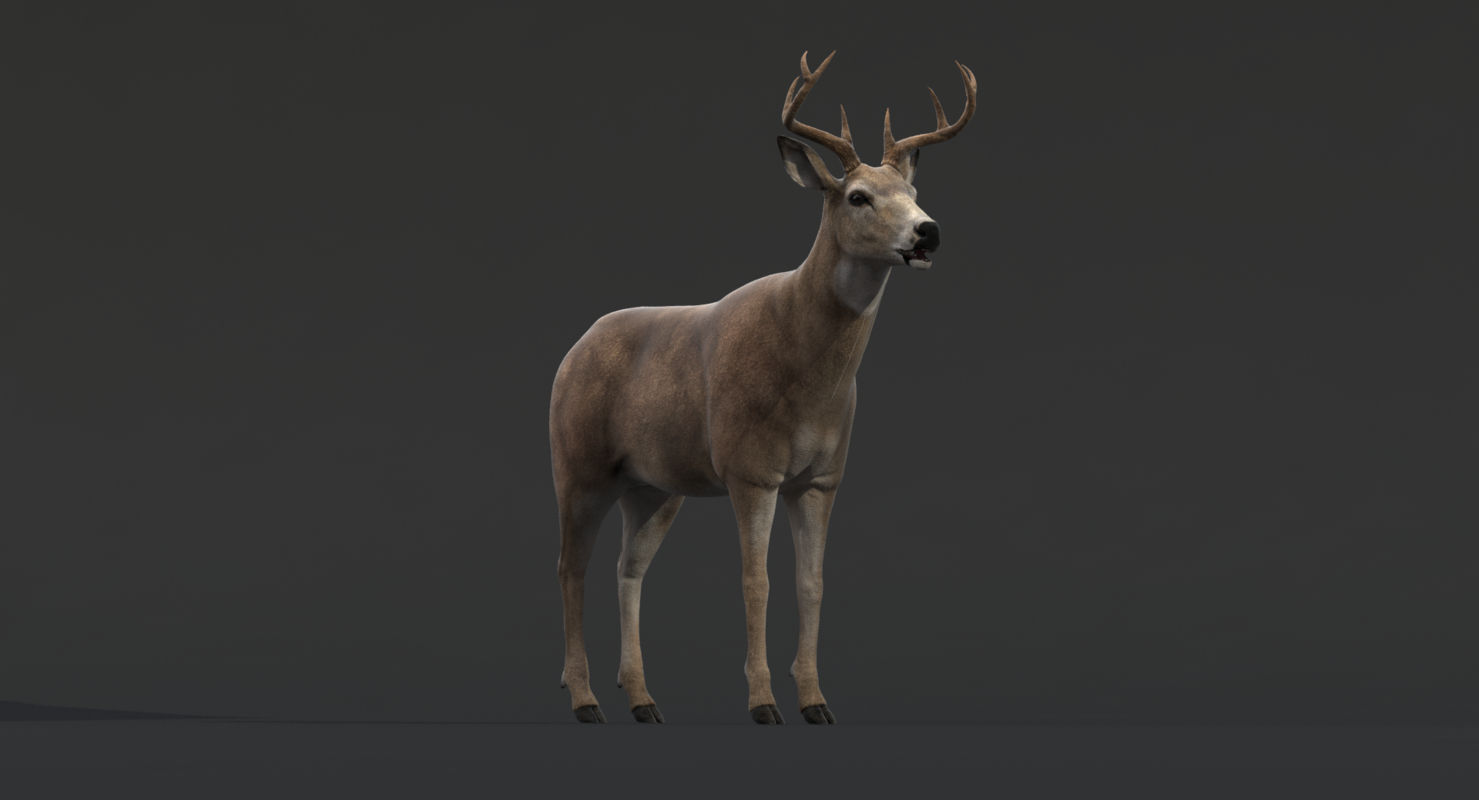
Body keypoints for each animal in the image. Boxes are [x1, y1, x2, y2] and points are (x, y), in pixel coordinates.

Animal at [550, 51, 977, 724]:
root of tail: (572, 351)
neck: (808, 376)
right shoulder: (749, 469)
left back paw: (642, 699)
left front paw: (816, 701)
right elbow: (758, 581)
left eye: (912, 193)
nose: (927, 232)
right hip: (578, 464)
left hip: (653, 485)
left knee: (628, 568)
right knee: (571, 567)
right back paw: (586, 698)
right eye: (857, 196)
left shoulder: (822, 477)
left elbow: (812, 582)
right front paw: (762, 702)